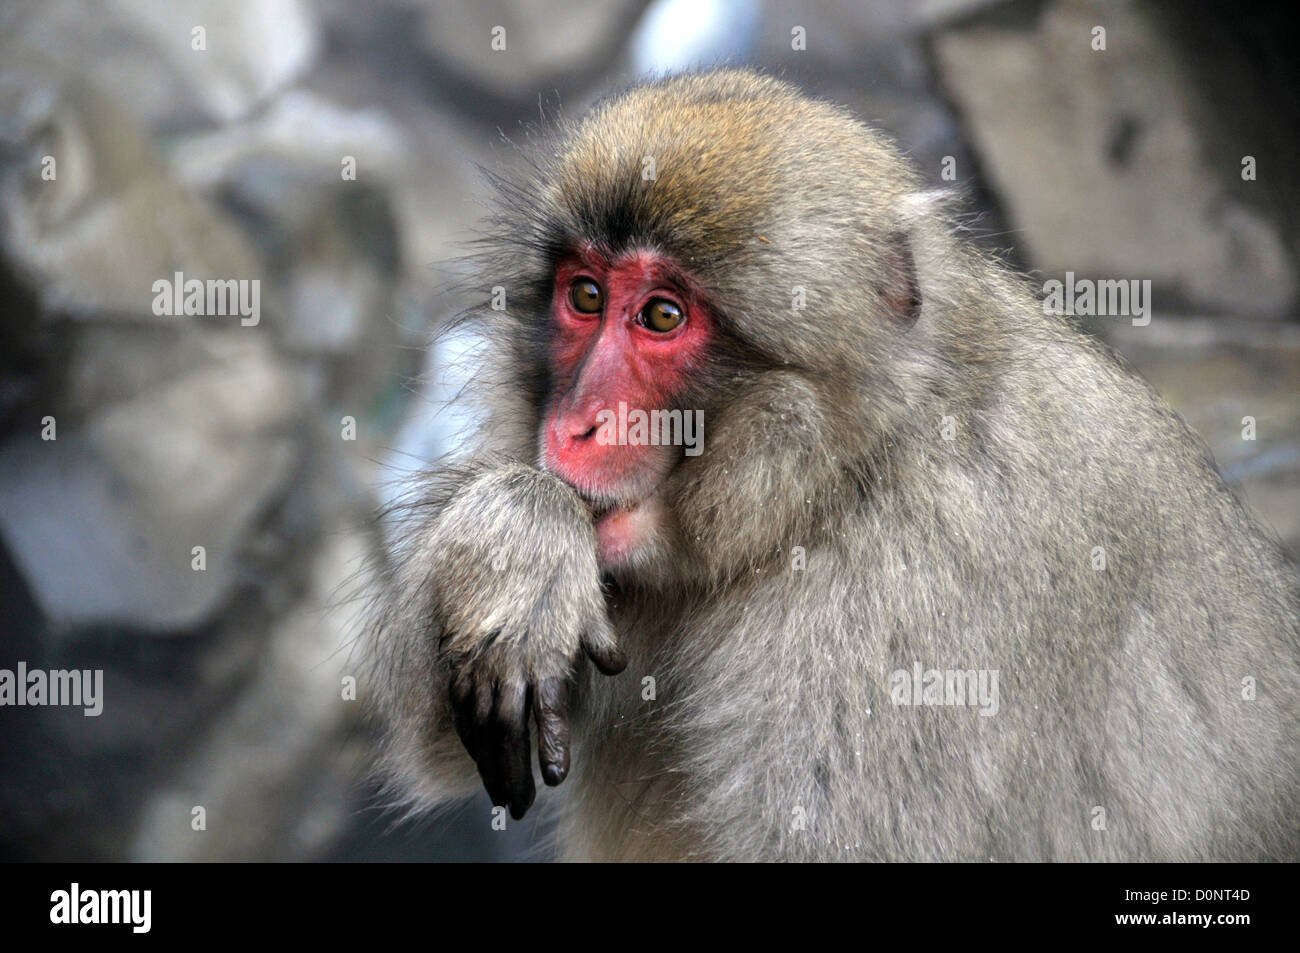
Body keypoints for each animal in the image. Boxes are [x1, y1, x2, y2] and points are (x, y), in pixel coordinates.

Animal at [366, 69, 1300, 861]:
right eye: (586, 296)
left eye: (663, 315)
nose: (575, 426)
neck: (835, 483)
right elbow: (439, 746)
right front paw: (519, 538)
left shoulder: (909, 612)